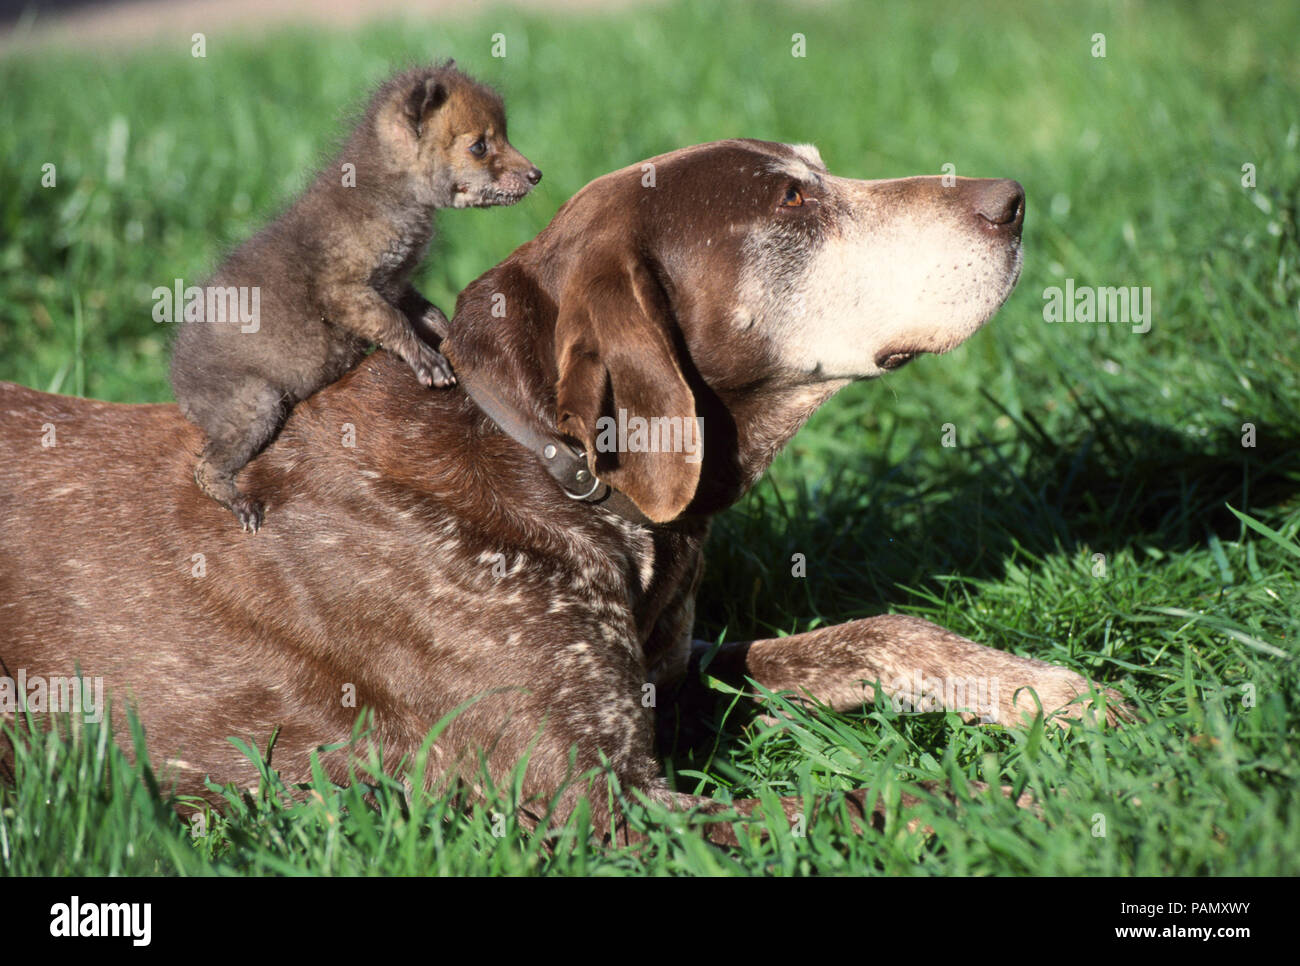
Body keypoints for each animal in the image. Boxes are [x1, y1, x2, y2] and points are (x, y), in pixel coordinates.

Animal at [170, 62, 541, 531]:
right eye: (479, 145)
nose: (536, 175)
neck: (392, 195)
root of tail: (178, 379)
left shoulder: (395, 284)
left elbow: (431, 315)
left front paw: (450, 340)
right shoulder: (347, 291)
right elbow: (394, 325)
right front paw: (428, 364)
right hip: (256, 403)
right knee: (204, 468)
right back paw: (240, 504)